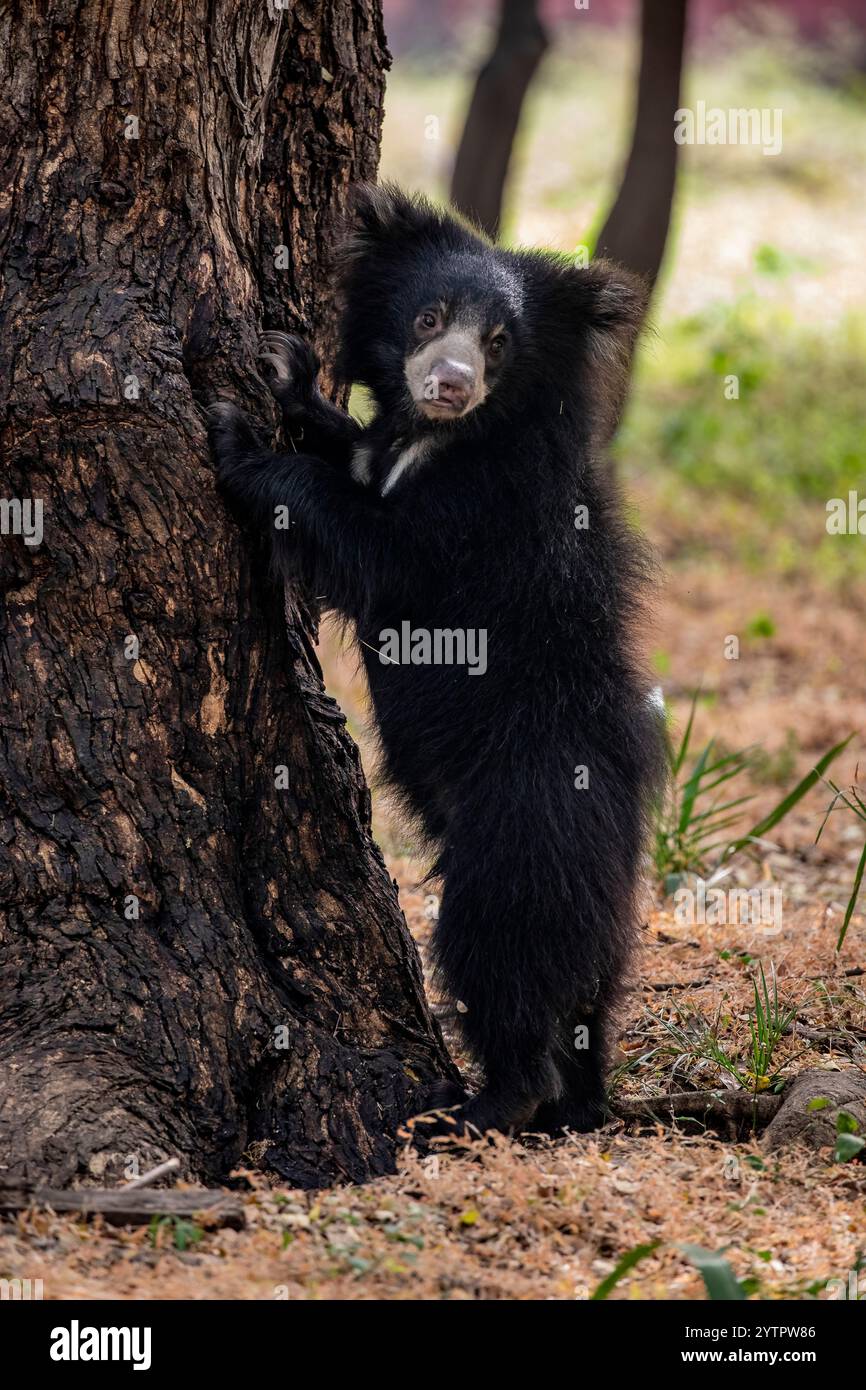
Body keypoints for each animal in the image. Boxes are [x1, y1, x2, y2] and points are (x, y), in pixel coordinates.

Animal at [208, 183, 665, 1137]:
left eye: (498, 344)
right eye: (428, 316)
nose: (448, 384)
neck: (447, 438)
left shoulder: (477, 514)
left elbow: (373, 550)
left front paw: (237, 437)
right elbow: (353, 451)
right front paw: (285, 371)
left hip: (518, 839)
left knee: (504, 960)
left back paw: (480, 1110)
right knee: (585, 1000)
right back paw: (578, 1104)